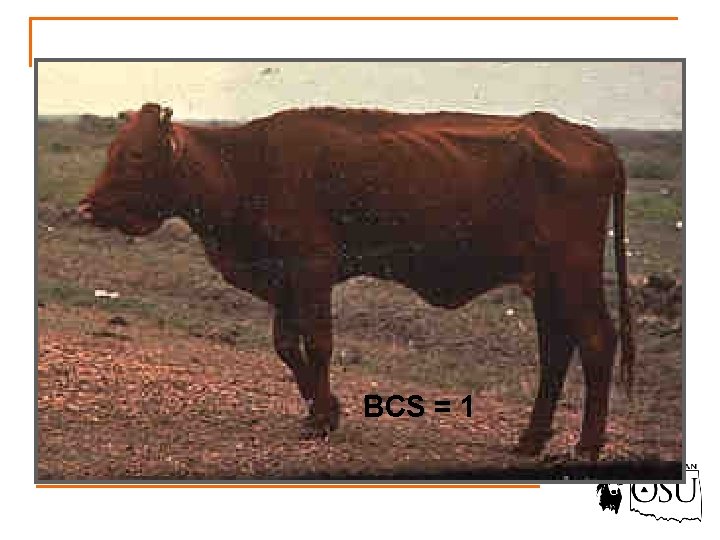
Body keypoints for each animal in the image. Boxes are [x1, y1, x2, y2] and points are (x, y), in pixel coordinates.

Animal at [78, 103, 634, 460]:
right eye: (114, 149)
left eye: (136, 155)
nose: (86, 207)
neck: (247, 166)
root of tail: (587, 136)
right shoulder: (283, 281)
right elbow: (286, 345)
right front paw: (322, 410)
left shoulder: (313, 269)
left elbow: (318, 344)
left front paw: (325, 417)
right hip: (545, 282)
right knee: (555, 349)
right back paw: (530, 439)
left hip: (574, 273)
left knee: (595, 342)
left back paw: (585, 446)